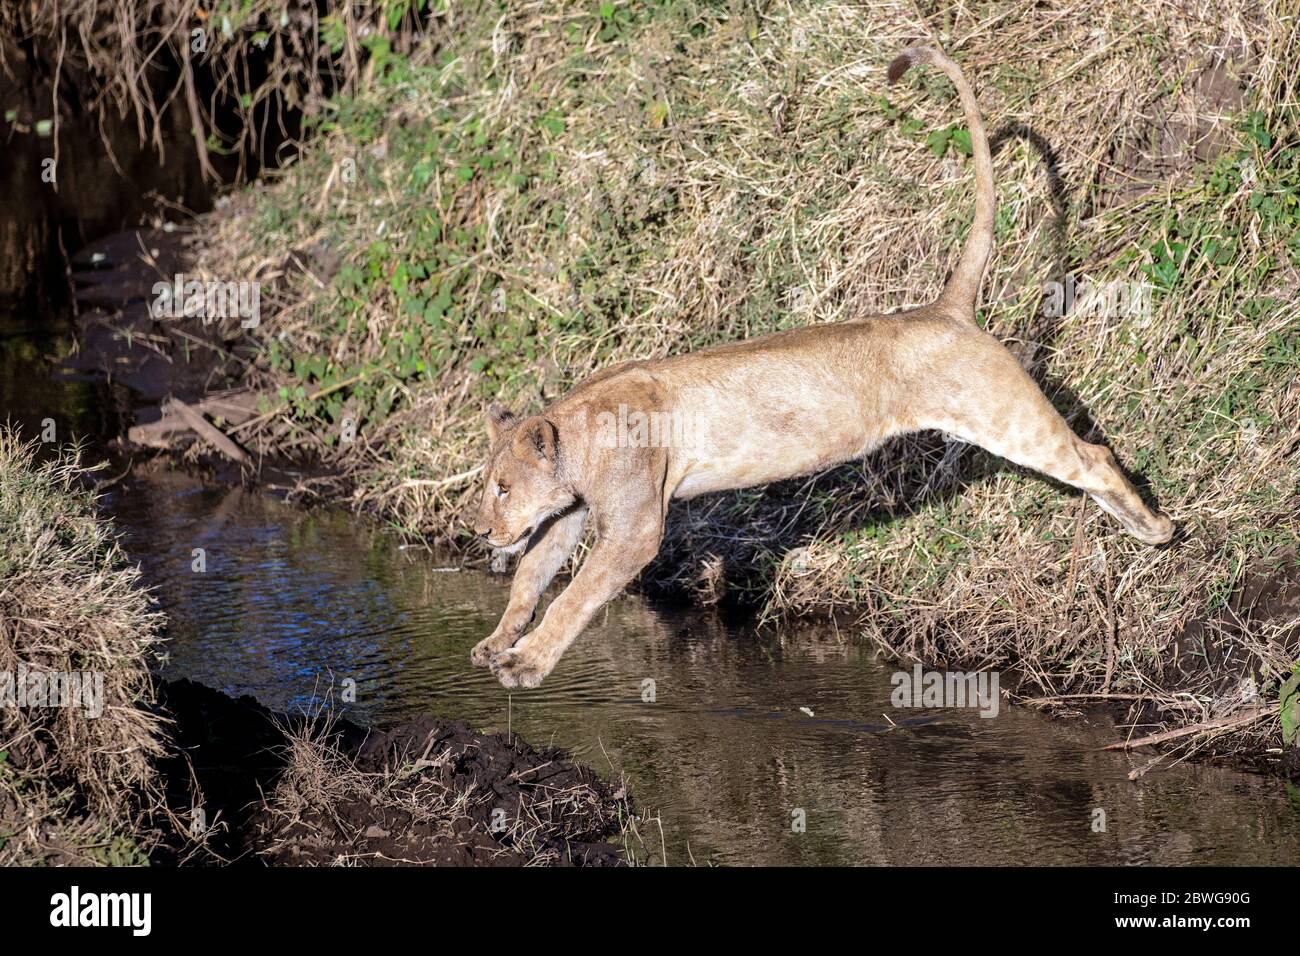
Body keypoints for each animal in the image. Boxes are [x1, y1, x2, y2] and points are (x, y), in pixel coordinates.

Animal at [469, 46, 1174, 689]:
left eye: (502, 487)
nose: (478, 529)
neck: (578, 435)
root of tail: (946, 309)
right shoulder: (570, 513)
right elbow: (532, 574)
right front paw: (497, 642)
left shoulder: (635, 524)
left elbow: (575, 595)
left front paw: (527, 665)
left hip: (1002, 412)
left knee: (1092, 455)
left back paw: (1156, 529)